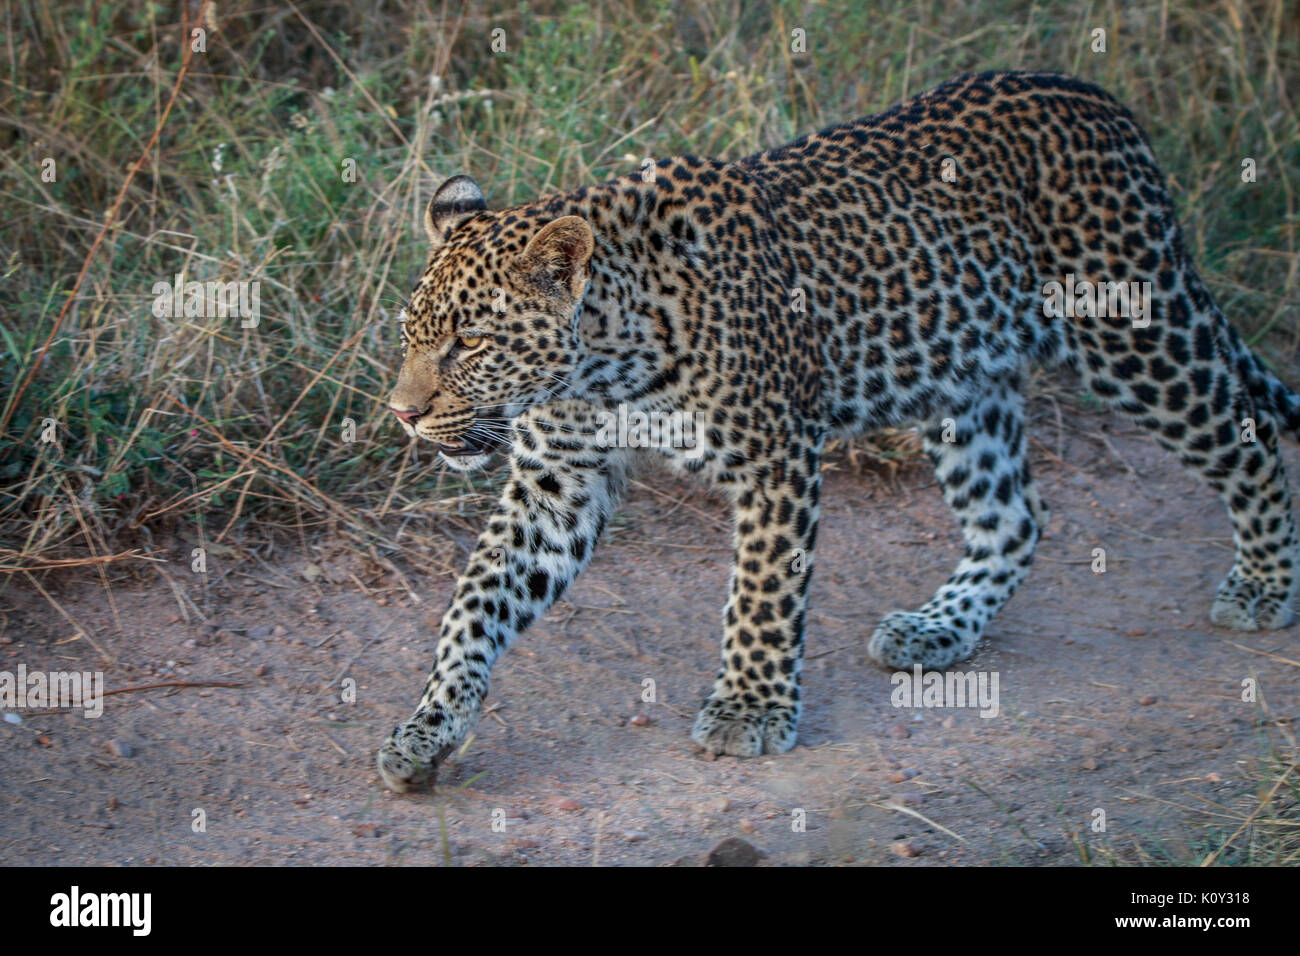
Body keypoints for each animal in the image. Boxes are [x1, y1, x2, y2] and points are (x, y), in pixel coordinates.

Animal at [377, 69, 1300, 792]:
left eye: (470, 344)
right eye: (412, 335)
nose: (404, 413)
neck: (602, 363)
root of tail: (1099, 99)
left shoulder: (773, 456)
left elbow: (760, 596)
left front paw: (749, 709)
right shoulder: (555, 487)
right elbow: (473, 607)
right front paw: (429, 727)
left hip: (1132, 335)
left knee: (1248, 436)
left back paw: (1264, 584)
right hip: (963, 378)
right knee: (1013, 516)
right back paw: (938, 628)